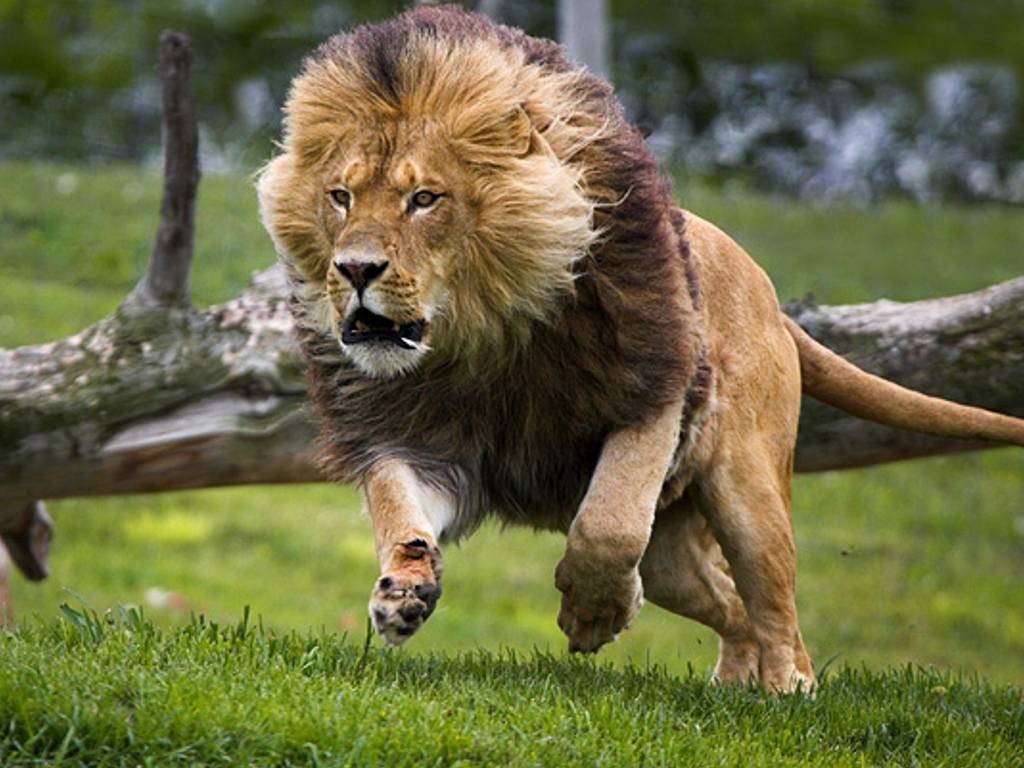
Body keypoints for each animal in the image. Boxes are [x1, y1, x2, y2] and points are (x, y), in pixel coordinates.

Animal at [258, 5, 1024, 692]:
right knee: (727, 600)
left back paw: (788, 689)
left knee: (774, 603)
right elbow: (398, 510)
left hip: (750, 492)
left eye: (424, 199)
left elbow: (609, 523)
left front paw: (597, 613)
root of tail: (772, 298)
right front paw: (403, 592)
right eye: (340, 196)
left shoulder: (652, 391)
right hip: (676, 557)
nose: (355, 270)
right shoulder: (417, 440)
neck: (481, 340)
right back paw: (733, 682)